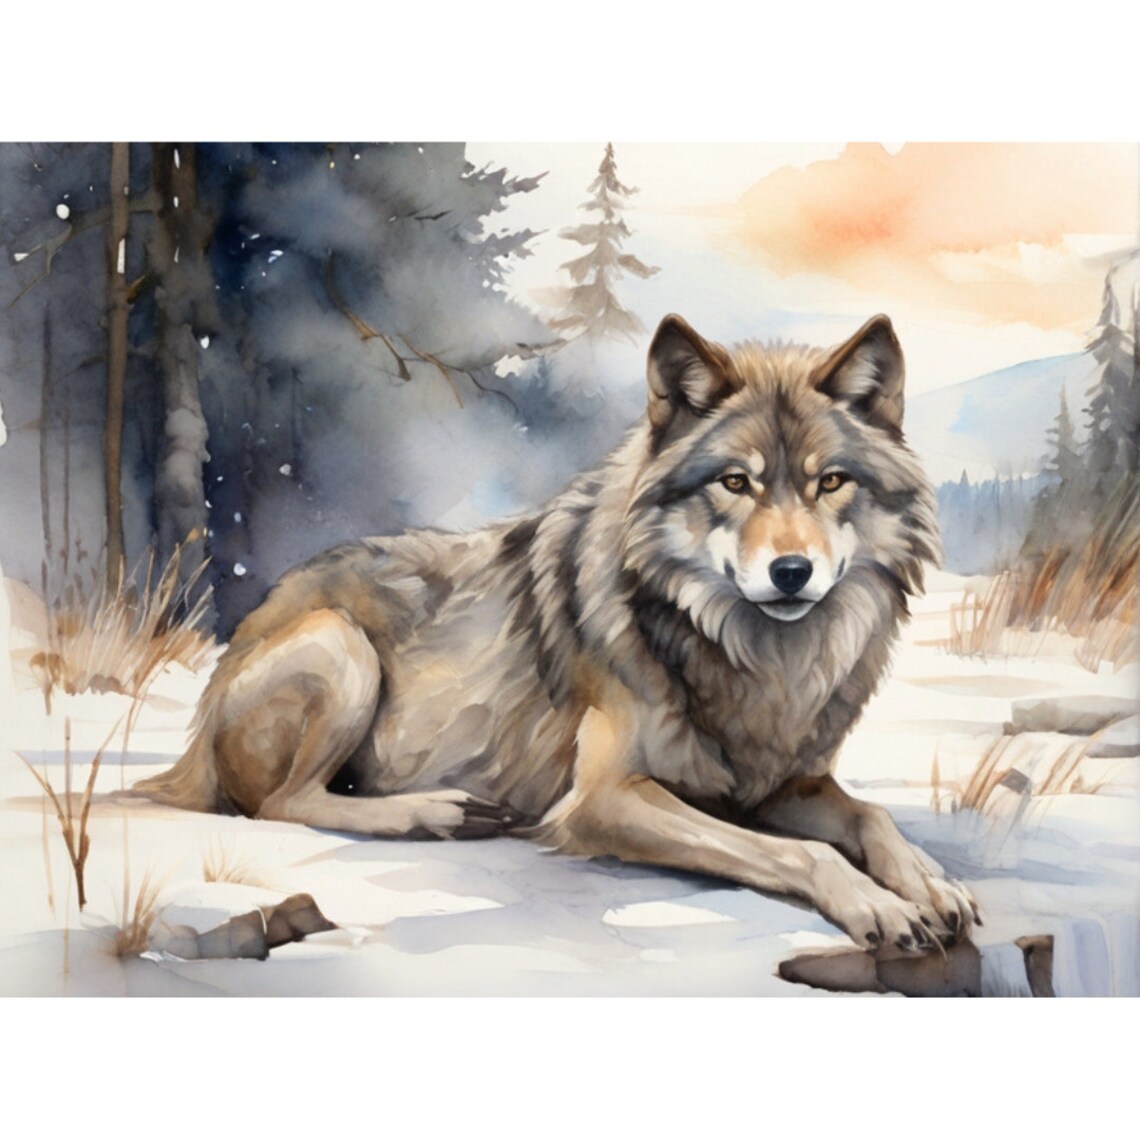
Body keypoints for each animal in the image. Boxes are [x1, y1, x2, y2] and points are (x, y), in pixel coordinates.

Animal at [136, 313, 979, 952]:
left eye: (830, 481)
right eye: (735, 483)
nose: (792, 572)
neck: (755, 660)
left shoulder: (784, 783)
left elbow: (869, 816)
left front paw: (933, 885)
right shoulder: (604, 798)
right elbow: (802, 852)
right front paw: (881, 905)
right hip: (339, 647)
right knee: (282, 803)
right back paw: (435, 813)